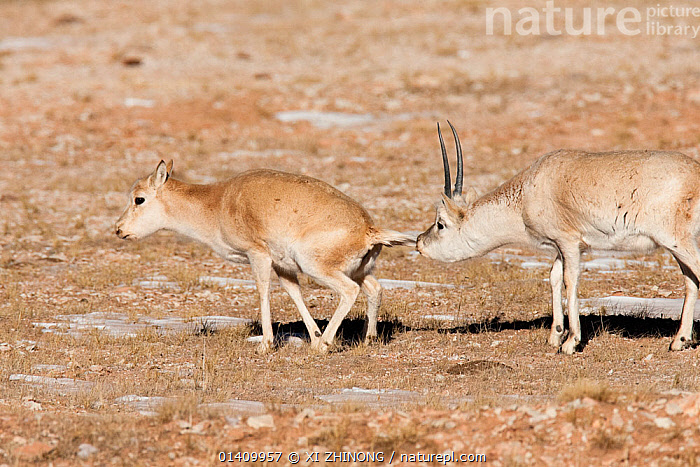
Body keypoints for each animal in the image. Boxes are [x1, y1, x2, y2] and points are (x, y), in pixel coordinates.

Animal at [115, 161, 414, 354]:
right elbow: (294, 293)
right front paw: (313, 336)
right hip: (360, 271)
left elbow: (262, 291)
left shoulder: (257, 255)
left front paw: (267, 344)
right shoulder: (283, 267)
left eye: (139, 199)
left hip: (319, 269)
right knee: (375, 289)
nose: (118, 229)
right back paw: (367, 339)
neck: (218, 201)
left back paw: (325, 346)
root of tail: (368, 230)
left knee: (349, 291)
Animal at [417, 121, 700, 354]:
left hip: (675, 240)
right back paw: (679, 341)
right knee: (690, 280)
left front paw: (571, 342)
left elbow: (569, 280)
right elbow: (553, 277)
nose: (419, 242)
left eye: (440, 224)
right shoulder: (560, 247)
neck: (528, 190)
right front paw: (555, 336)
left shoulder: (569, 242)